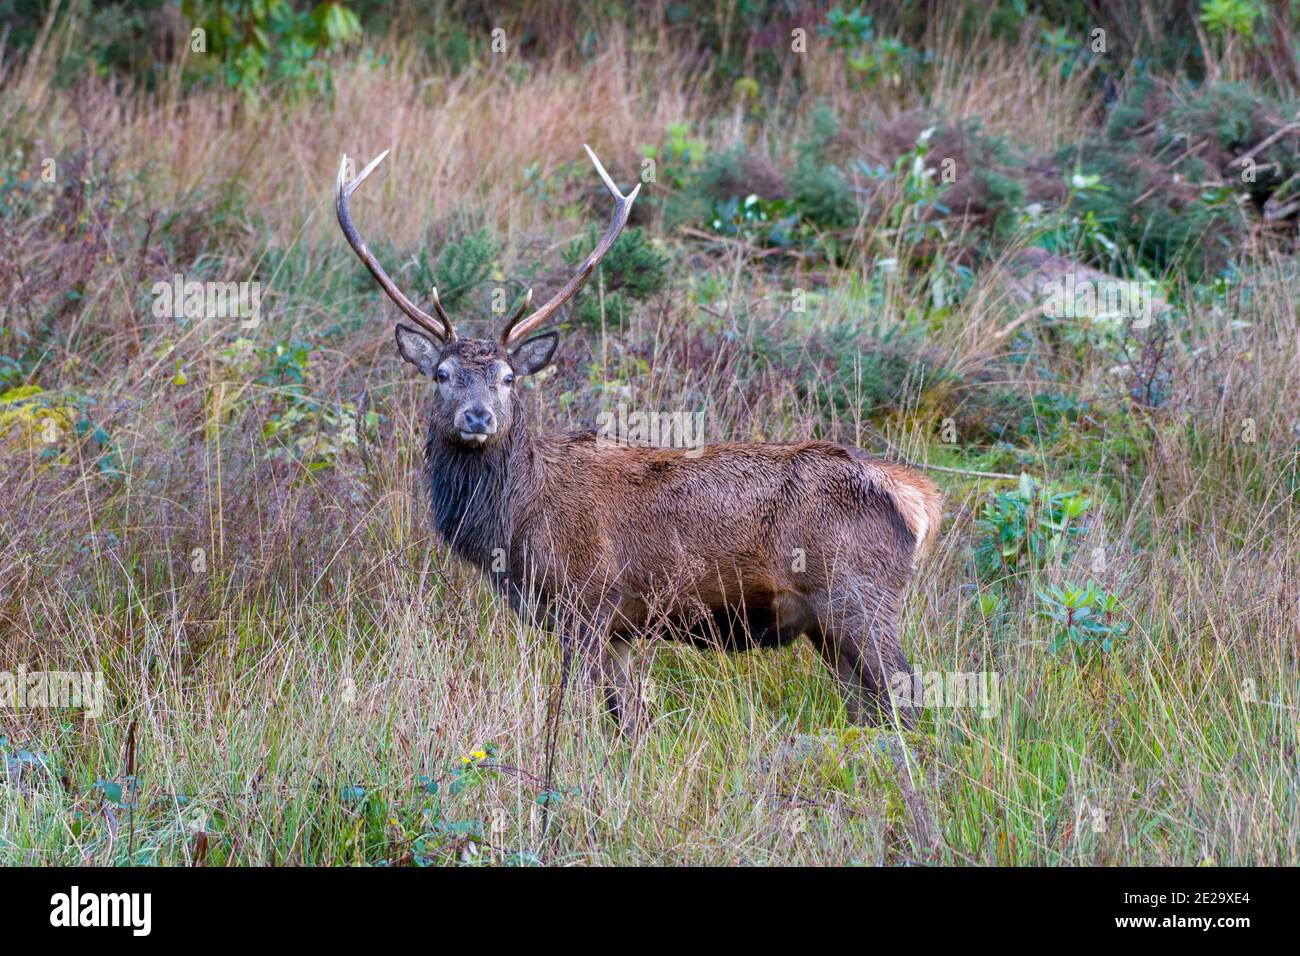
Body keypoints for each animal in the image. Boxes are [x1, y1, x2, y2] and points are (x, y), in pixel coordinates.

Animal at [335, 145, 943, 733]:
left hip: (858, 596)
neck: (515, 517)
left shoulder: (587, 603)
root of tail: (919, 498)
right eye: (441, 373)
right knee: (868, 709)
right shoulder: (623, 628)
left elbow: (580, 710)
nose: (478, 417)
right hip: (830, 625)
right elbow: (627, 718)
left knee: (909, 700)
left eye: (509, 378)